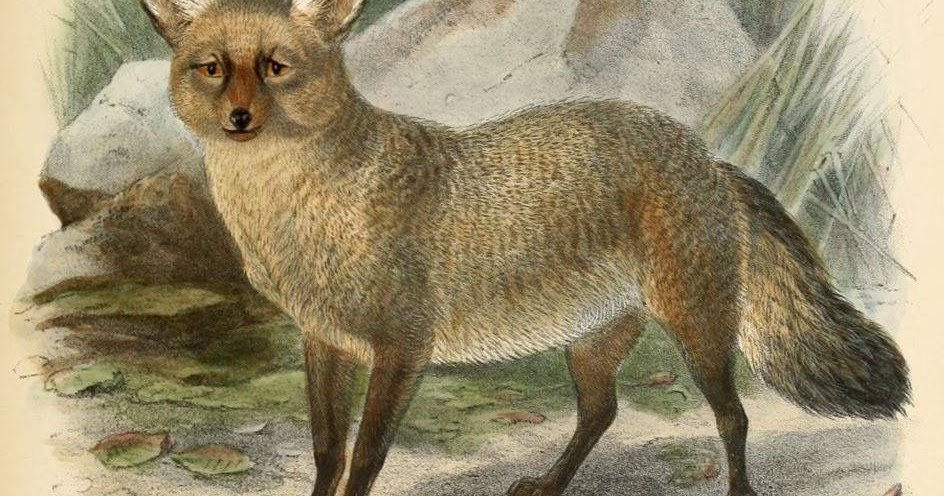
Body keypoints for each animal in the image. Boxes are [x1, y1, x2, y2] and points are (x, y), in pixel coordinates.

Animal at [139, 0, 910, 495]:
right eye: (213, 68)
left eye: (275, 66)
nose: (240, 118)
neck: (294, 209)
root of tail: (707, 157)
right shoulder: (323, 341)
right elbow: (327, 455)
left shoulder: (401, 350)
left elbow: (364, 461)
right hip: (592, 342)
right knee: (602, 412)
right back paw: (547, 485)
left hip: (697, 328)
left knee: (733, 416)